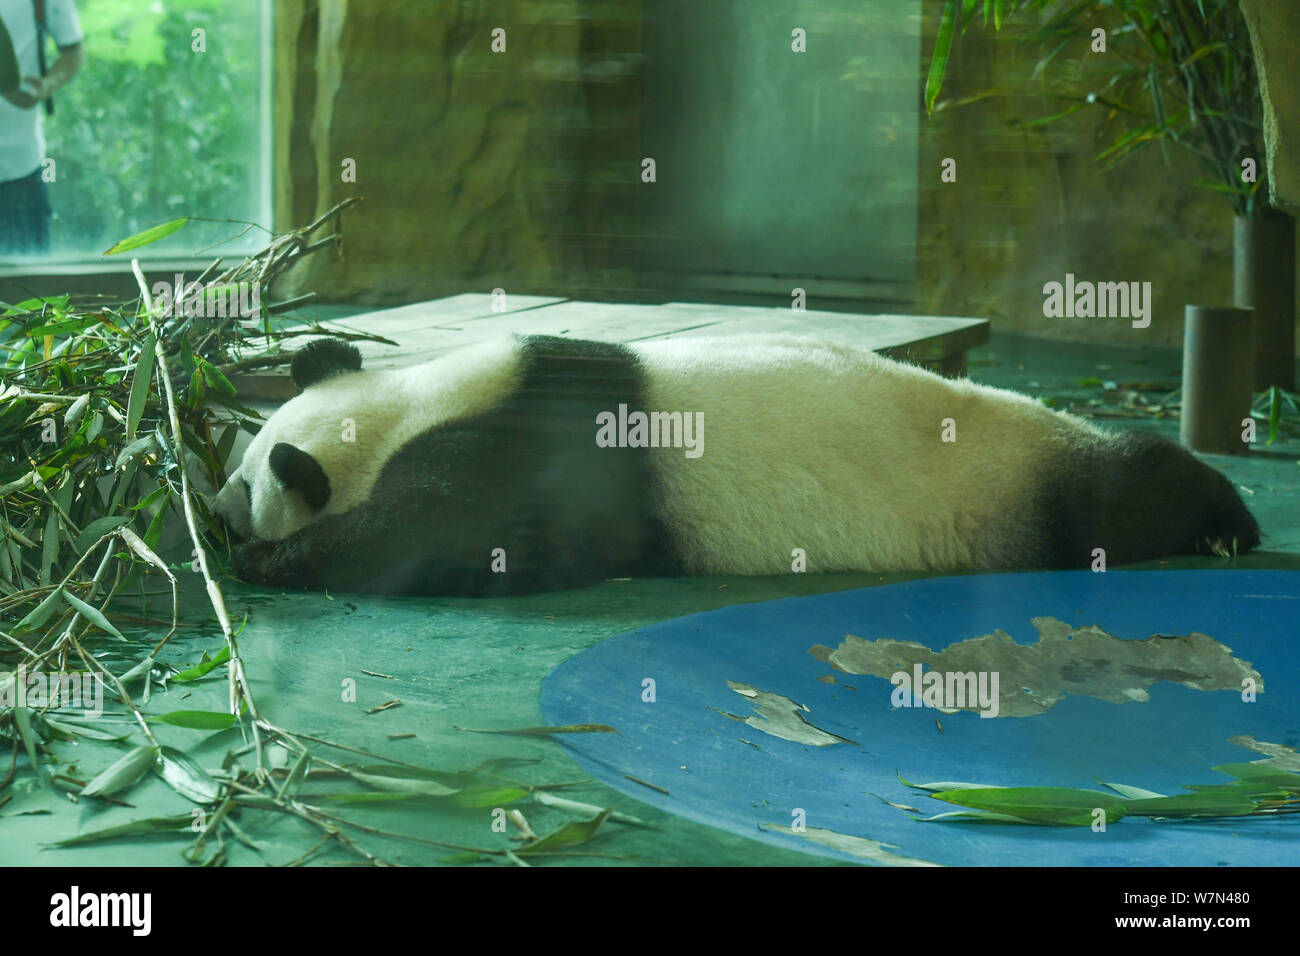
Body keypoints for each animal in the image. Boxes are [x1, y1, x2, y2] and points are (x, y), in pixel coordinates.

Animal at [212, 334, 1261, 596]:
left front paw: (271, 561)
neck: (406, 404)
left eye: (246, 484)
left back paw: (1226, 523)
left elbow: (460, 542)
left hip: (1015, 481)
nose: (216, 513)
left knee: (1118, 495)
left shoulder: (519, 454)